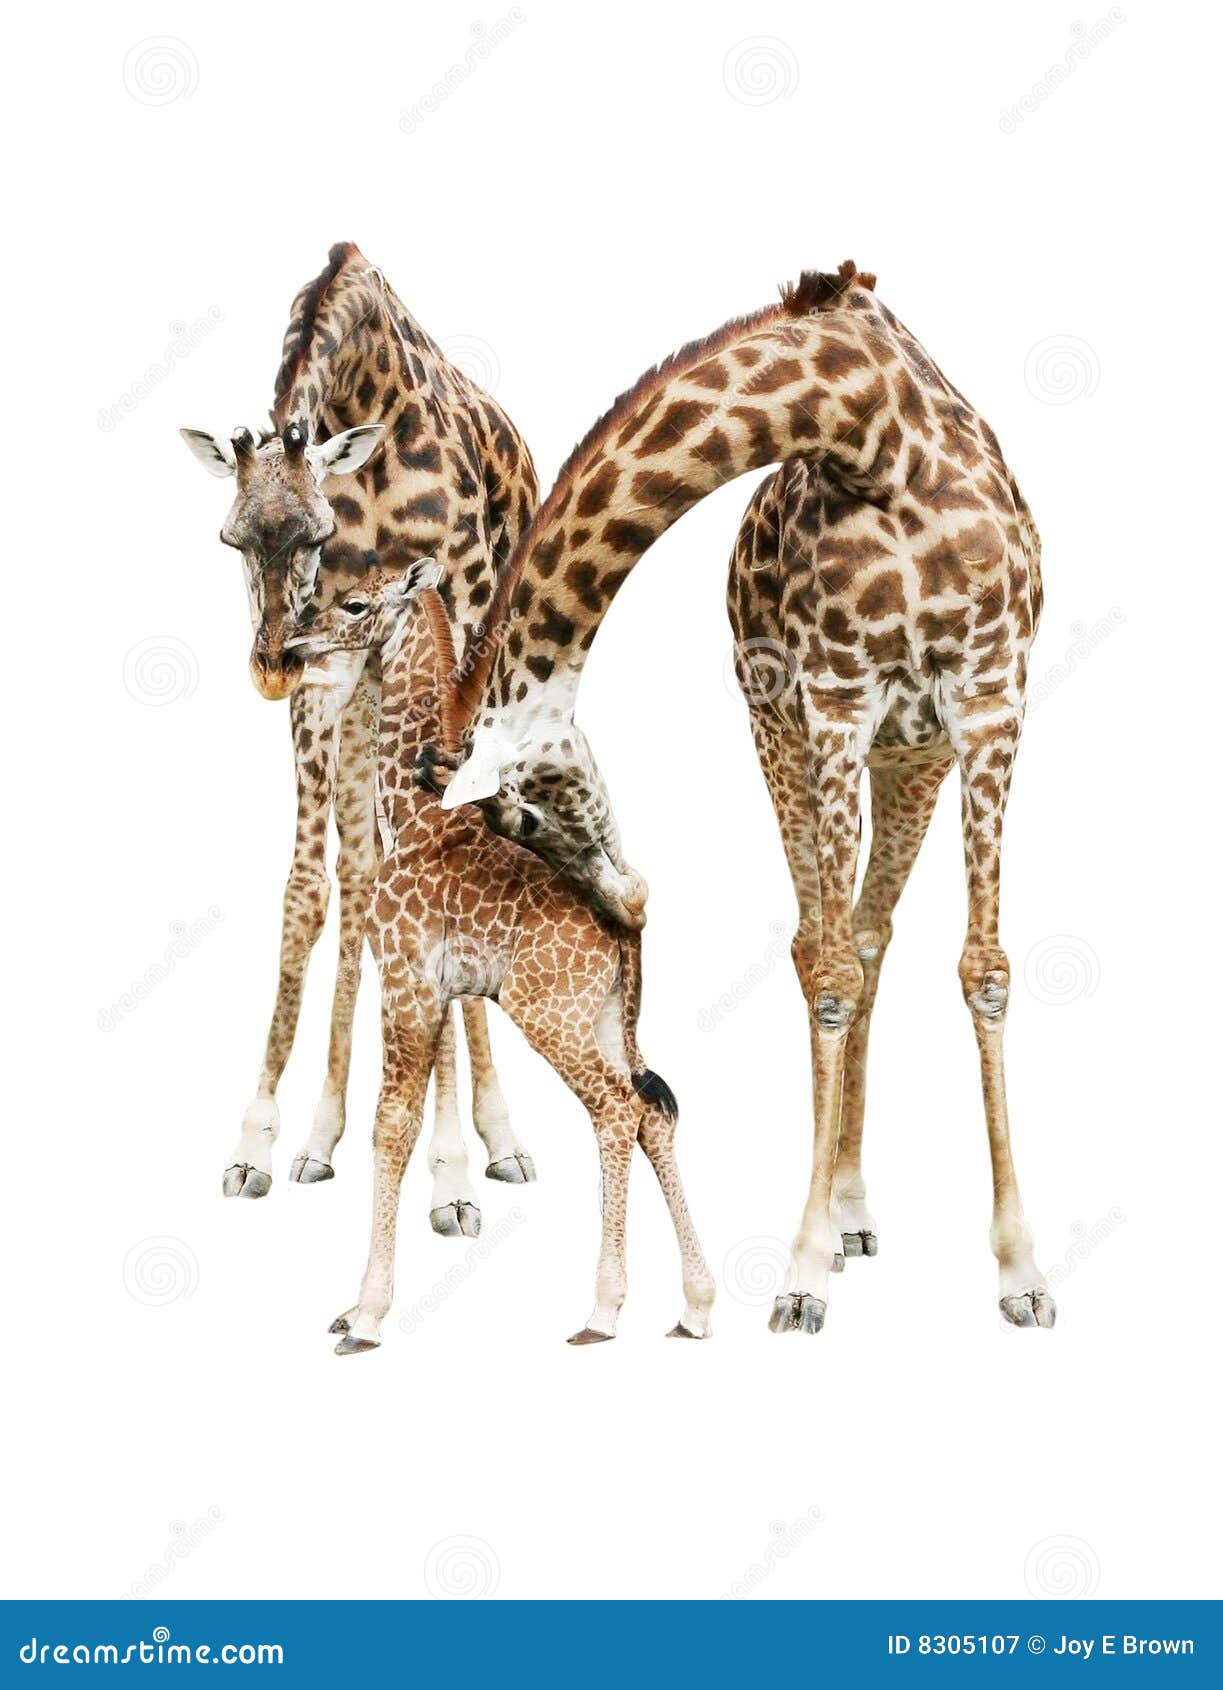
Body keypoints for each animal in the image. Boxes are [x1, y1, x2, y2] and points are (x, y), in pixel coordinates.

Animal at [180, 243, 538, 1232]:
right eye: (228, 539)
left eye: (313, 529)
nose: (265, 668)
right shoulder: (328, 662)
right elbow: (311, 887)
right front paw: (257, 1143)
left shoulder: (445, 621)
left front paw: (450, 1174)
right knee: (363, 867)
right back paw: (324, 1134)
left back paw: (500, 1139)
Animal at [275, 562, 713, 1354]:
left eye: (352, 604)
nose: (295, 639)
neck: (413, 813)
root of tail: (625, 927)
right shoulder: (440, 991)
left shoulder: (407, 981)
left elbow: (391, 1125)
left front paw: (365, 1314)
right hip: (610, 1014)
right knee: (654, 1108)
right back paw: (694, 1308)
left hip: (551, 1013)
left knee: (615, 1107)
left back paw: (602, 1311)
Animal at [434, 262, 1054, 1333]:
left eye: (520, 816)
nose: (626, 908)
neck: (867, 427)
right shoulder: (836, 699)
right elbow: (828, 968)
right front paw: (802, 1272)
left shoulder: (988, 699)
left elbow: (983, 969)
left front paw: (1020, 1273)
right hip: (782, 727)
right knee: (822, 944)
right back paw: (840, 1219)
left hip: (913, 759)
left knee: (868, 933)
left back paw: (851, 1204)